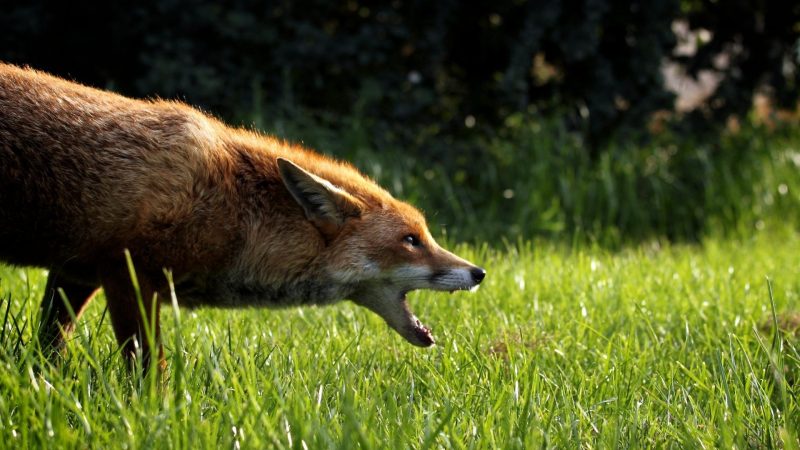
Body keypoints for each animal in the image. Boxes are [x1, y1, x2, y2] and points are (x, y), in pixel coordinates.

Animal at [0, 63, 486, 367]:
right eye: (411, 240)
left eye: (426, 235)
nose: (479, 272)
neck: (235, 209)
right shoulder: (127, 272)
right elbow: (148, 368)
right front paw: (155, 414)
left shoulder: (76, 271)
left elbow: (48, 350)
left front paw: (43, 385)